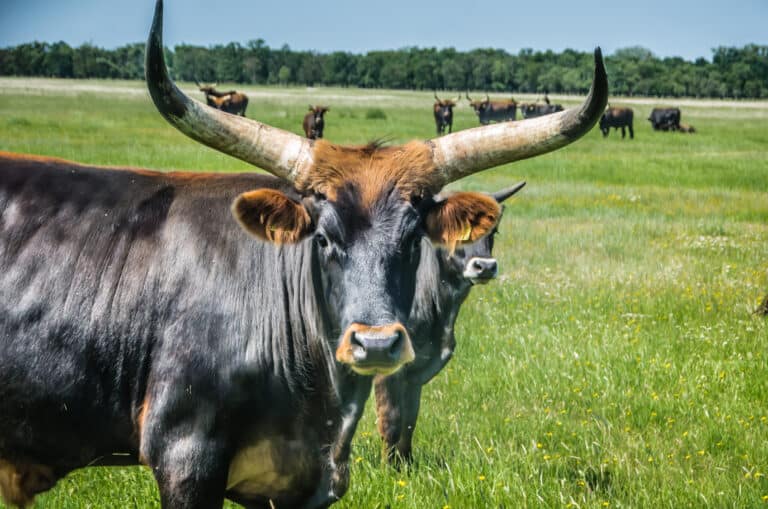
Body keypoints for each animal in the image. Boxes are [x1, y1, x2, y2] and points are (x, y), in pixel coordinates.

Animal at [374, 182, 525, 465]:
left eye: (494, 230)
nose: (485, 266)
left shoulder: (417, 370)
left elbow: (409, 420)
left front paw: (406, 465)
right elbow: (391, 420)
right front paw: (387, 469)